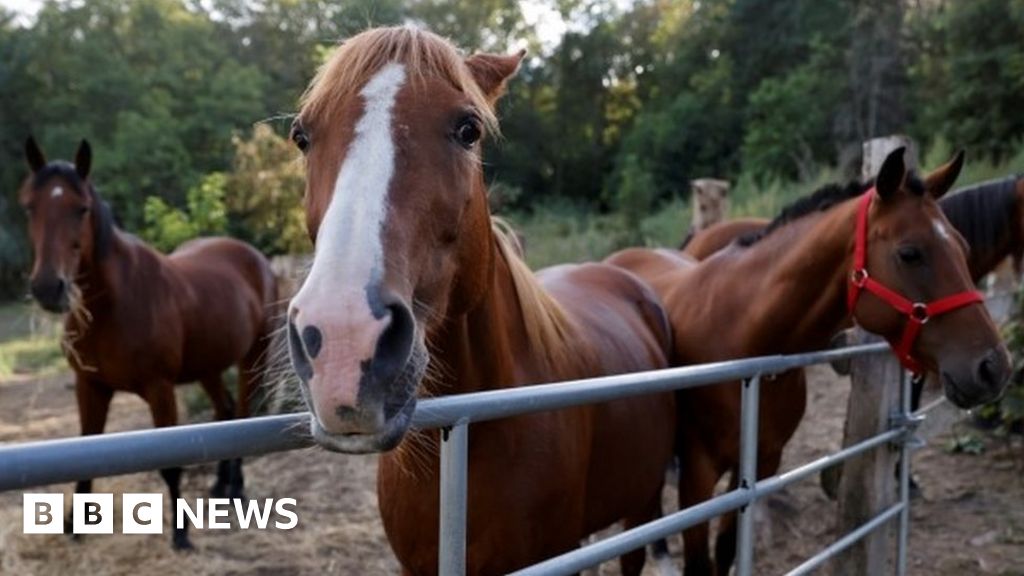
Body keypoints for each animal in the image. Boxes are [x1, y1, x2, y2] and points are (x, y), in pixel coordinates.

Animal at [19, 138, 278, 550]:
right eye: (30, 206)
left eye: (81, 208)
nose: (48, 287)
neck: (112, 306)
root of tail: (255, 258)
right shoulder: (89, 386)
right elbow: (85, 448)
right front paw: (75, 525)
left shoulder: (160, 390)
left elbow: (170, 464)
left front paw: (181, 534)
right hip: (208, 367)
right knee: (223, 412)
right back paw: (220, 486)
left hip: (254, 357)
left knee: (241, 413)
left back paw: (235, 488)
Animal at [608, 148, 1011, 576]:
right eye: (909, 253)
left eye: (963, 248)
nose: (993, 367)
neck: (742, 336)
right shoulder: (698, 474)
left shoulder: (759, 463)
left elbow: (728, 548)